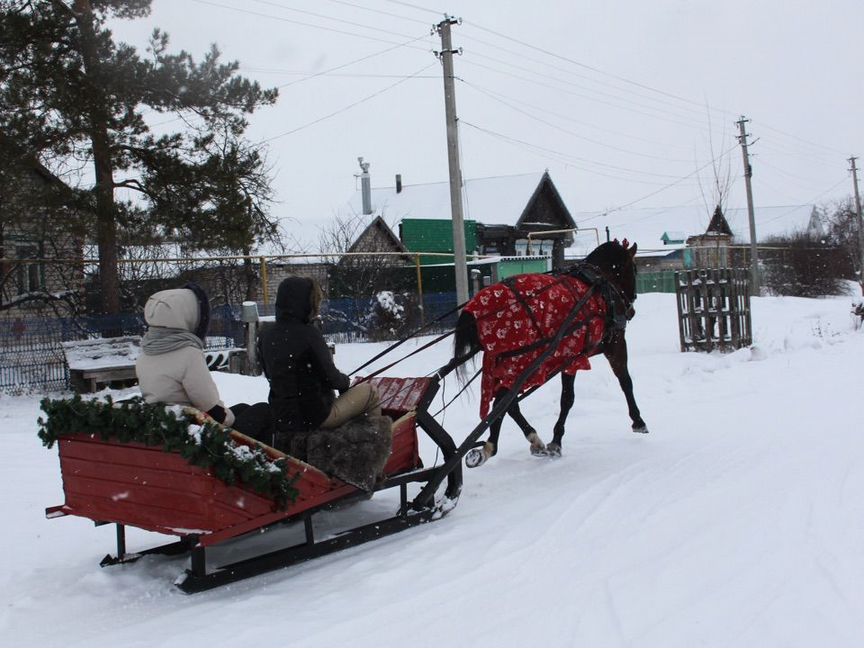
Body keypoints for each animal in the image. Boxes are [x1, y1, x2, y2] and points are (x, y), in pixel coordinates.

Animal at [438, 240, 648, 468]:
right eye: (633, 269)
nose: (631, 311)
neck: (599, 284)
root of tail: (475, 309)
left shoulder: (570, 355)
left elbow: (566, 397)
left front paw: (555, 441)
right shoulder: (611, 346)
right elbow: (623, 382)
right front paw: (638, 420)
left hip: (507, 364)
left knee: (507, 404)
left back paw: (522, 441)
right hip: (521, 363)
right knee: (502, 402)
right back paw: (494, 446)